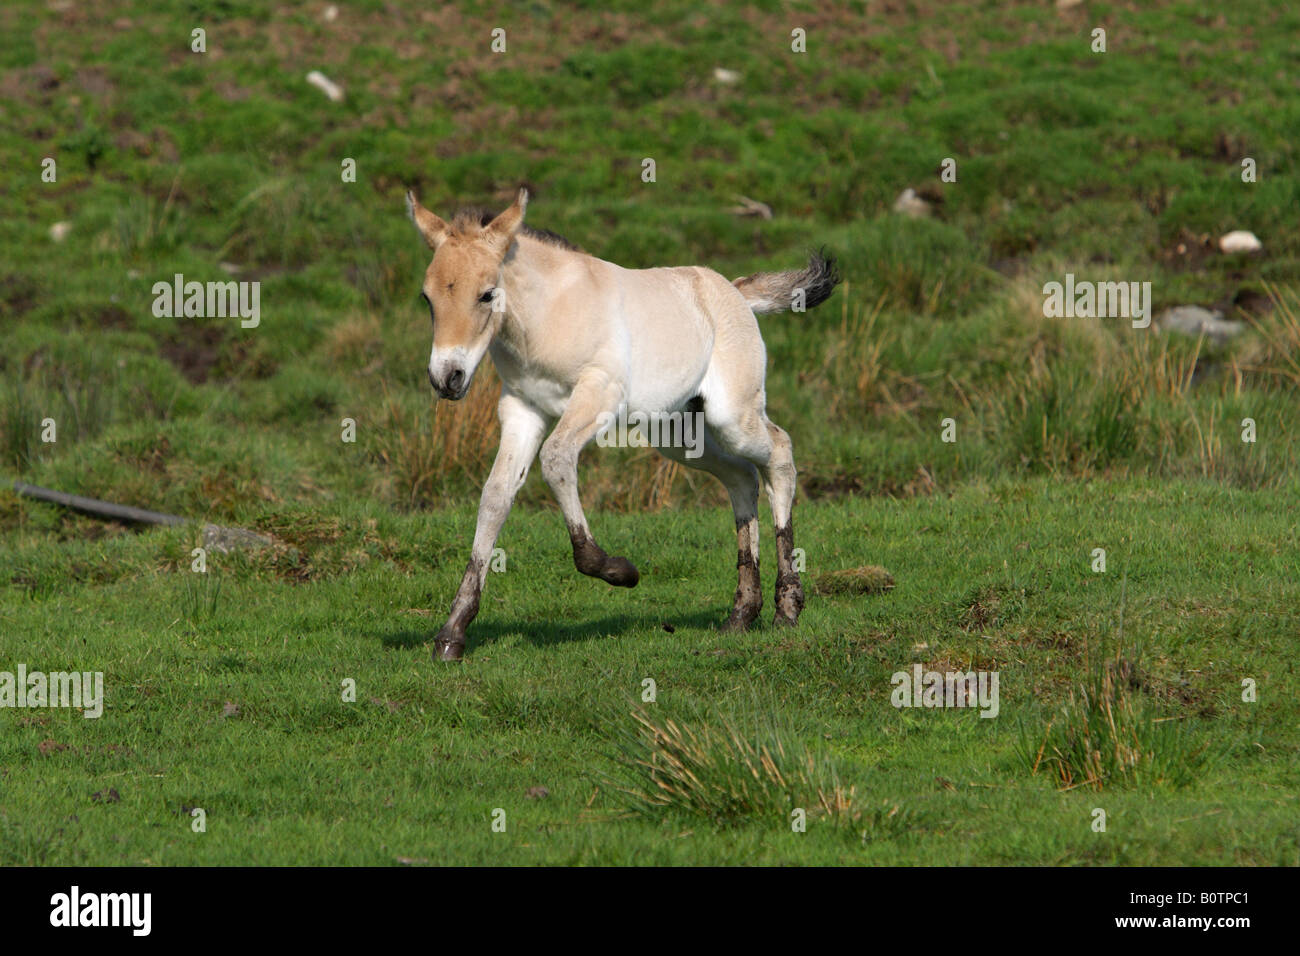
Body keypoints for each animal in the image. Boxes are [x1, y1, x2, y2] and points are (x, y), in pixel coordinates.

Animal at [405, 187, 840, 660]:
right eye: (427, 297)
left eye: (486, 294)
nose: (447, 378)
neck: (549, 313)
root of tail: (735, 292)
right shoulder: (522, 408)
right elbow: (496, 496)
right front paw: (453, 631)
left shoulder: (599, 394)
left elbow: (555, 459)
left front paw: (616, 570)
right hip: (677, 432)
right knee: (742, 478)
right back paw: (742, 613)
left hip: (734, 419)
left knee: (779, 453)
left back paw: (787, 608)